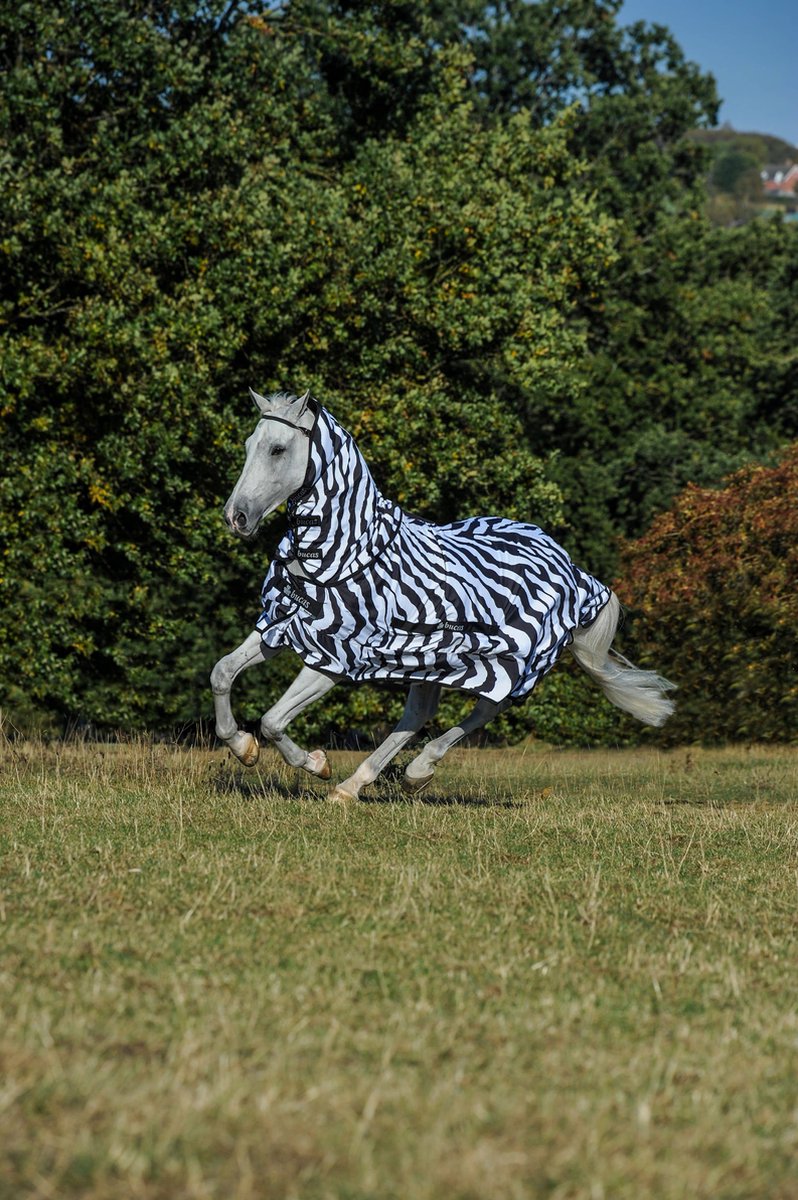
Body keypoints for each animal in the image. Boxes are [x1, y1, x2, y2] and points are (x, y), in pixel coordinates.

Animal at [211, 389, 675, 802]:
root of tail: (572, 568)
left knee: (484, 710)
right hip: (428, 660)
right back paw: (355, 786)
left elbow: (273, 721)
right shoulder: (283, 624)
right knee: (418, 716)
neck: (342, 551)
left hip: (507, 662)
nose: (236, 517)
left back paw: (412, 772)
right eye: (250, 445)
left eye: (277, 449)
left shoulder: (336, 655)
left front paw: (316, 763)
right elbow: (222, 673)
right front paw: (243, 748)